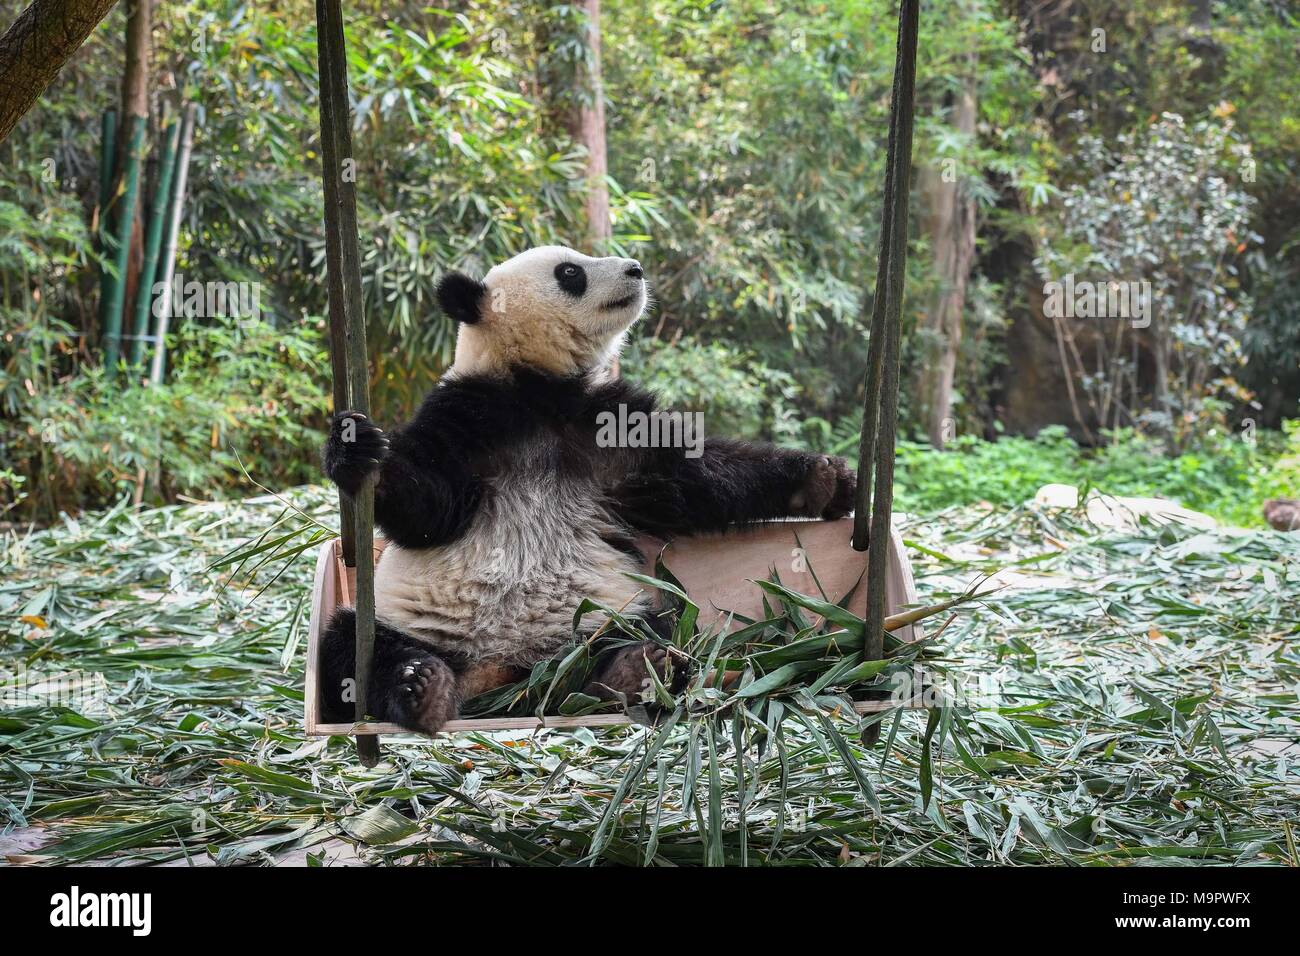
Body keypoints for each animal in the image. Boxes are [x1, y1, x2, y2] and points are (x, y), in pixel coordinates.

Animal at [320, 245, 857, 734]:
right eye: (570, 272)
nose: (636, 269)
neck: (539, 388)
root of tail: (505, 673)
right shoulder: (467, 415)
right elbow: (426, 509)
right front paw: (357, 450)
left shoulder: (609, 430)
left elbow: (692, 479)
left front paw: (826, 480)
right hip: (417, 623)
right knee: (353, 647)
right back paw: (420, 688)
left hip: (606, 614)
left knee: (647, 633)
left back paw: (633, 669)